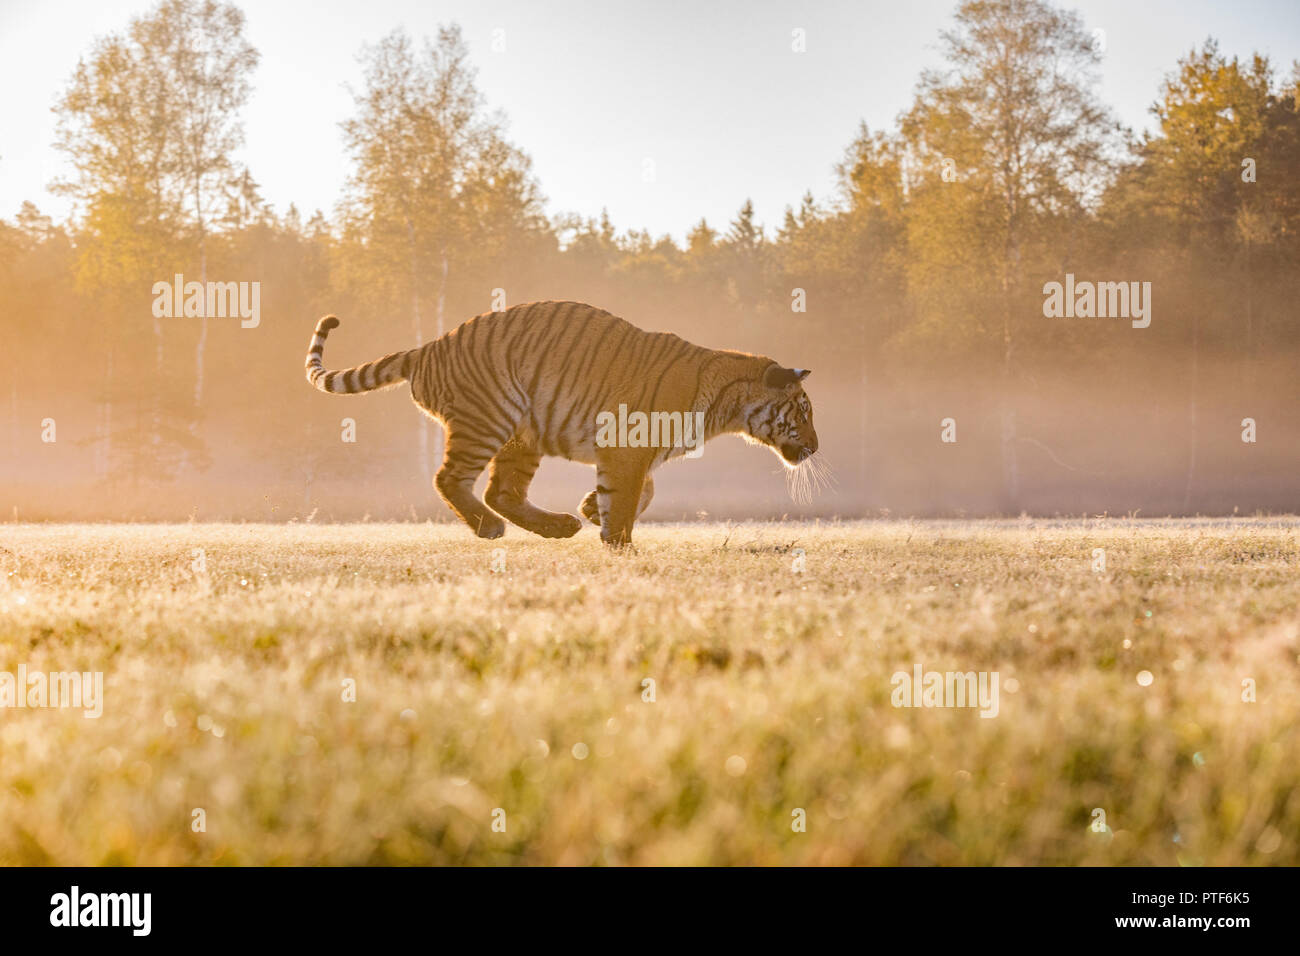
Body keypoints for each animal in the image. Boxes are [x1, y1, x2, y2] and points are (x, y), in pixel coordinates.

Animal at [305, 300, 819, 545]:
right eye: (804, 411)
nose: (815, 446)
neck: (725, 406)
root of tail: (428, 345)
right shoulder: (627, 445)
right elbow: (629, 498)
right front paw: (619, 543)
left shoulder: (635, 451)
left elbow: (643, 492)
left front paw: (592, 509)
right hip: (490, 417)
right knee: (449, 478)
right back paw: (490, 529)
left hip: (522, 436)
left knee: (501, 492)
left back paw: (558, 526)